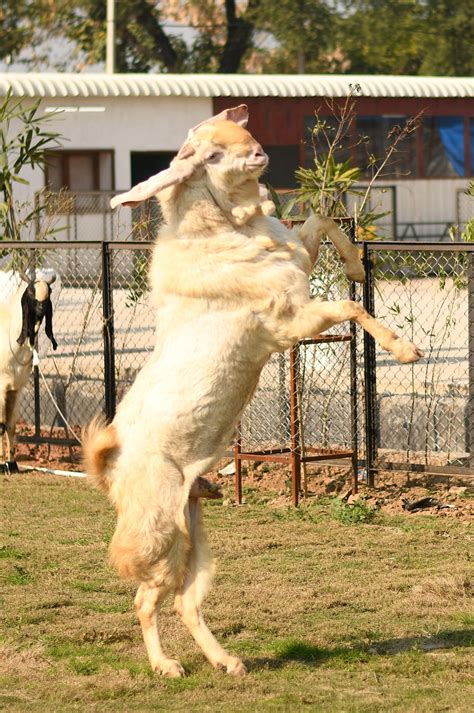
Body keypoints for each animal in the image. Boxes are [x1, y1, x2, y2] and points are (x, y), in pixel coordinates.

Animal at [0, 269, 57, 461]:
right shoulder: (1, 387)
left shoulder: (15, 388)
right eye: (31, 292)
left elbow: (10, 426)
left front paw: (11, 462)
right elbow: (1, 424)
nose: (41, 309)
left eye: (50, 292)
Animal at [83, 105, 423, 678]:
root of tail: (111, 465)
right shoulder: (286, 321)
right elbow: (350, 306)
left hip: (195, 535)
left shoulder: (299, 262)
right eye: (209, 153)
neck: (227, 228)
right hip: (161, 532)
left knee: (185, 601)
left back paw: (226, 661)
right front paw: (405, 350)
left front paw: (356, 265)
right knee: (146, 599)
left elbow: (322, 220)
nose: (259, 148)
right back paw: (166, 666)